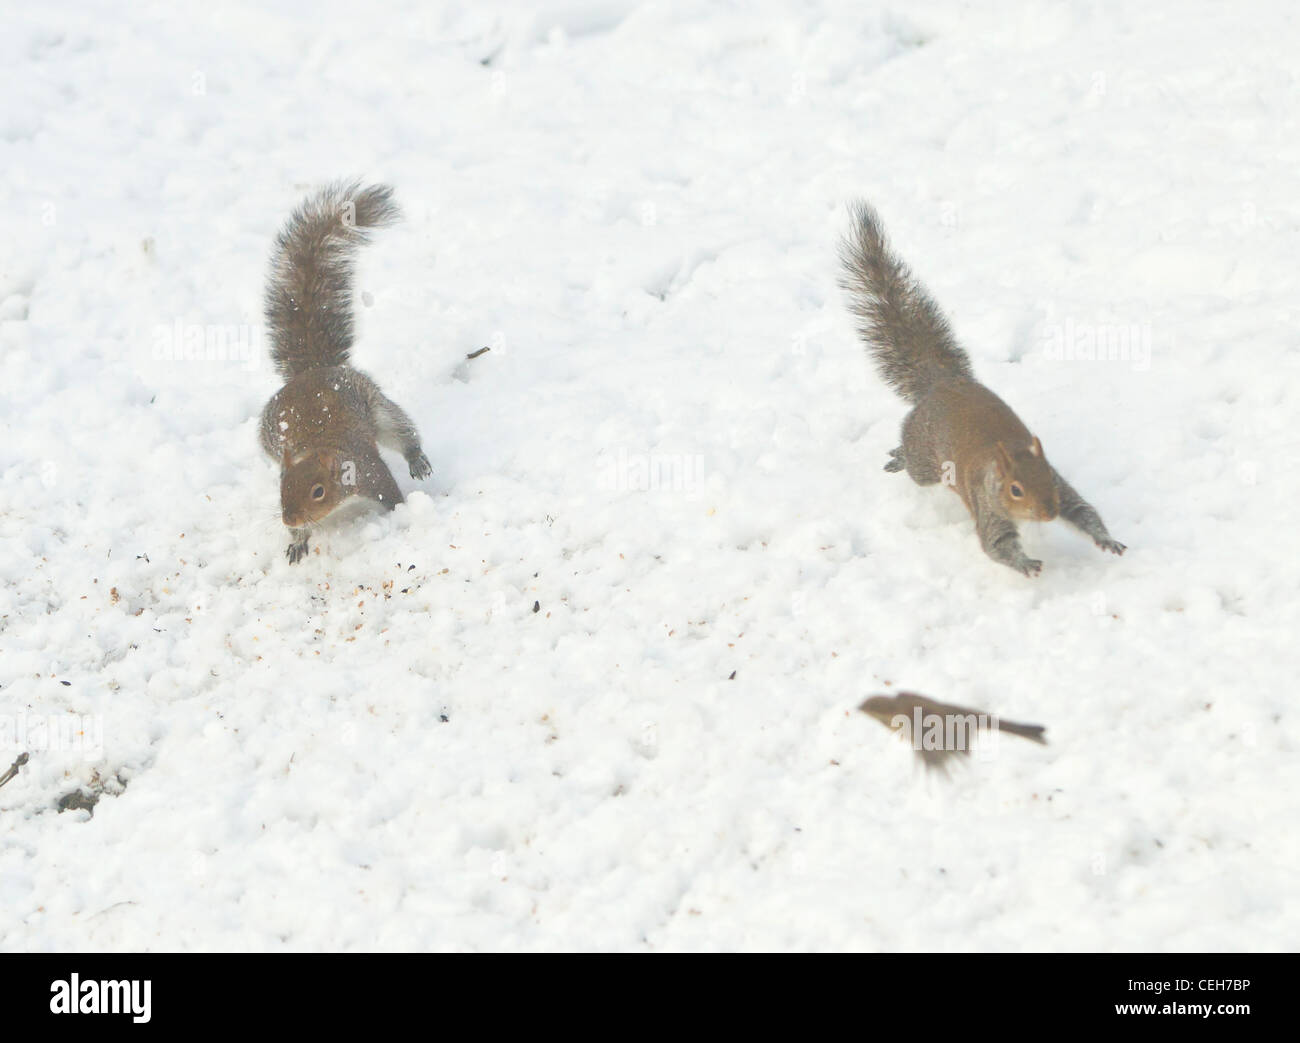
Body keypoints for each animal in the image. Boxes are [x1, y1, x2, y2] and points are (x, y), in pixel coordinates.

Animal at [258, 181, 431, 563]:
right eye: (282, 488)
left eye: (318, 491)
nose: (289, 517)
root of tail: (313, 371)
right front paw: (297, 541)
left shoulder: (369, 474)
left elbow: (390, 494)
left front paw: (400, 517)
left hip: (376, 406)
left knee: (401, 430)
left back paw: (417, 459)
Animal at [839, 202, 1125, 576]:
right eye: (1016, 490)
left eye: (1049, 476)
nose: (1049, 512)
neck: (1007, 455)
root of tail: (943, 383)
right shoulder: (986, 506)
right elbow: (996, 543)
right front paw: (1027, 564)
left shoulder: (1064, 492)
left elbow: (1083, 511)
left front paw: (1106, 539)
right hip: (924, 461)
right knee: (914, 464)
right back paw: (899, 456)